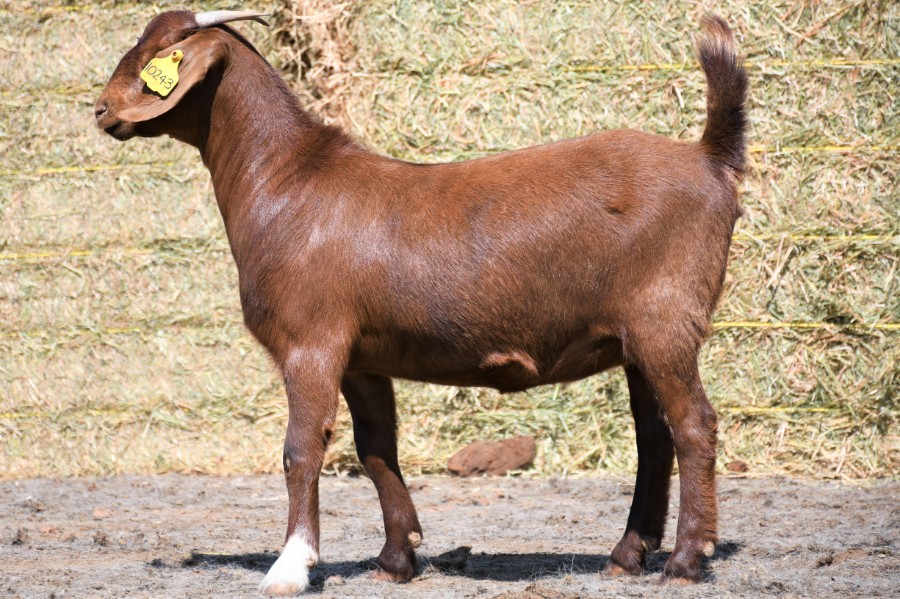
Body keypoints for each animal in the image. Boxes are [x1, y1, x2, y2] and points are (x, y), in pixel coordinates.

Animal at [95, 9, 747, 595]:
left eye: (157, 58)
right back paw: (627, 554)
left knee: (695, 427)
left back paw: (686, 559)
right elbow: (376, 450)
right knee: (655, 436)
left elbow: (300, 450)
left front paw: (290, 566)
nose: (101, 110)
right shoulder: (362, 358)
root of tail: (709, 158)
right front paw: (396, 558)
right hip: (636, 336)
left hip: (666, 317)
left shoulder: (311, 342)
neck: (286, 182)